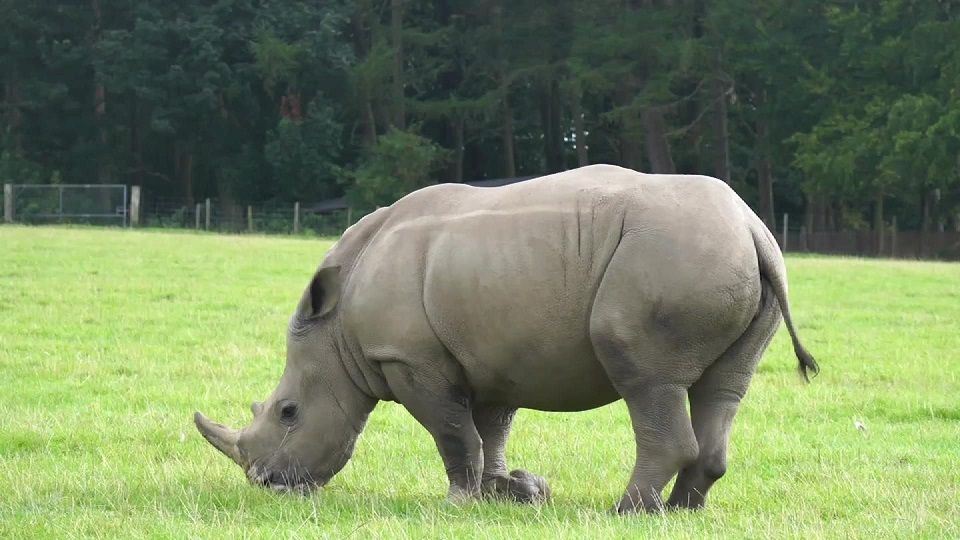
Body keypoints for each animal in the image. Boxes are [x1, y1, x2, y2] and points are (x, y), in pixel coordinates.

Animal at [194, 164, 818, 513]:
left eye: (289, 412)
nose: (268, 485)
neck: (338, 329)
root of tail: (751, 229)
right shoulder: (493, 358)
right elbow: (490, 429)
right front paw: (514, 492)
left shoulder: (412, 360)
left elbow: (453, 433)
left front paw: (458, 502)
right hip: (725, 259)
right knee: (723, 387)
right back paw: (684, 512)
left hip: (671, 257)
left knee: (647, 379)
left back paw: (628, 513)